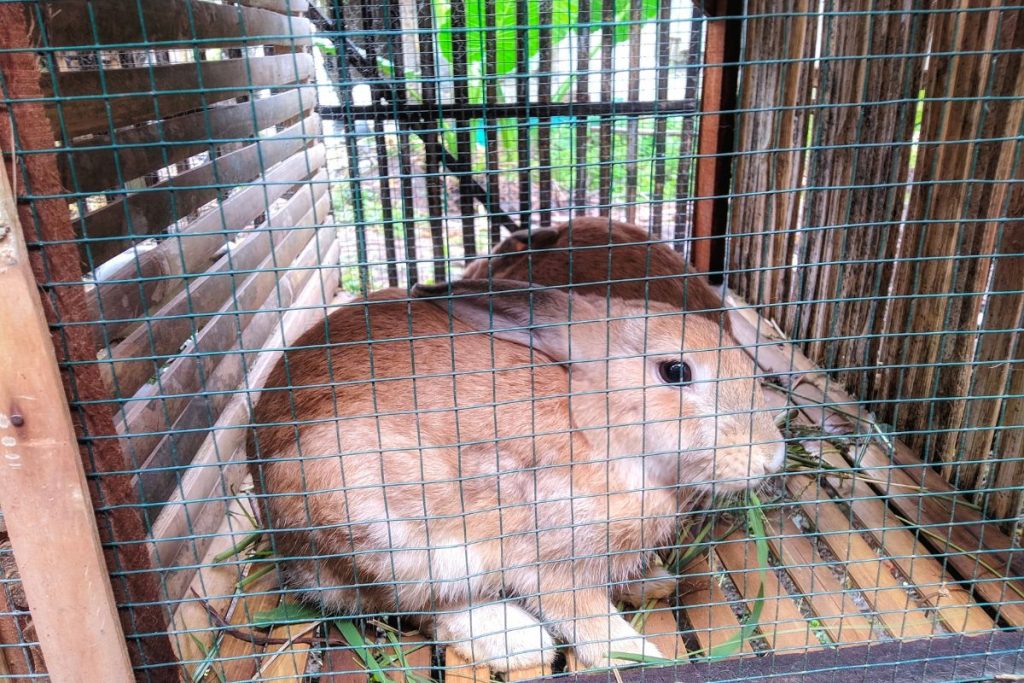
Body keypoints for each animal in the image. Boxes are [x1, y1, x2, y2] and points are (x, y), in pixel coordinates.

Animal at [248, 279, 785, 672]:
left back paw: (652, 583)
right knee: (419, 607)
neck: (593, 428)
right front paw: (640, 657)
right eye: (675, 371)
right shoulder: (552, 563)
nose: (771, 458)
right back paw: (519, 641)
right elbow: (589, 619)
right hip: (389, 536)